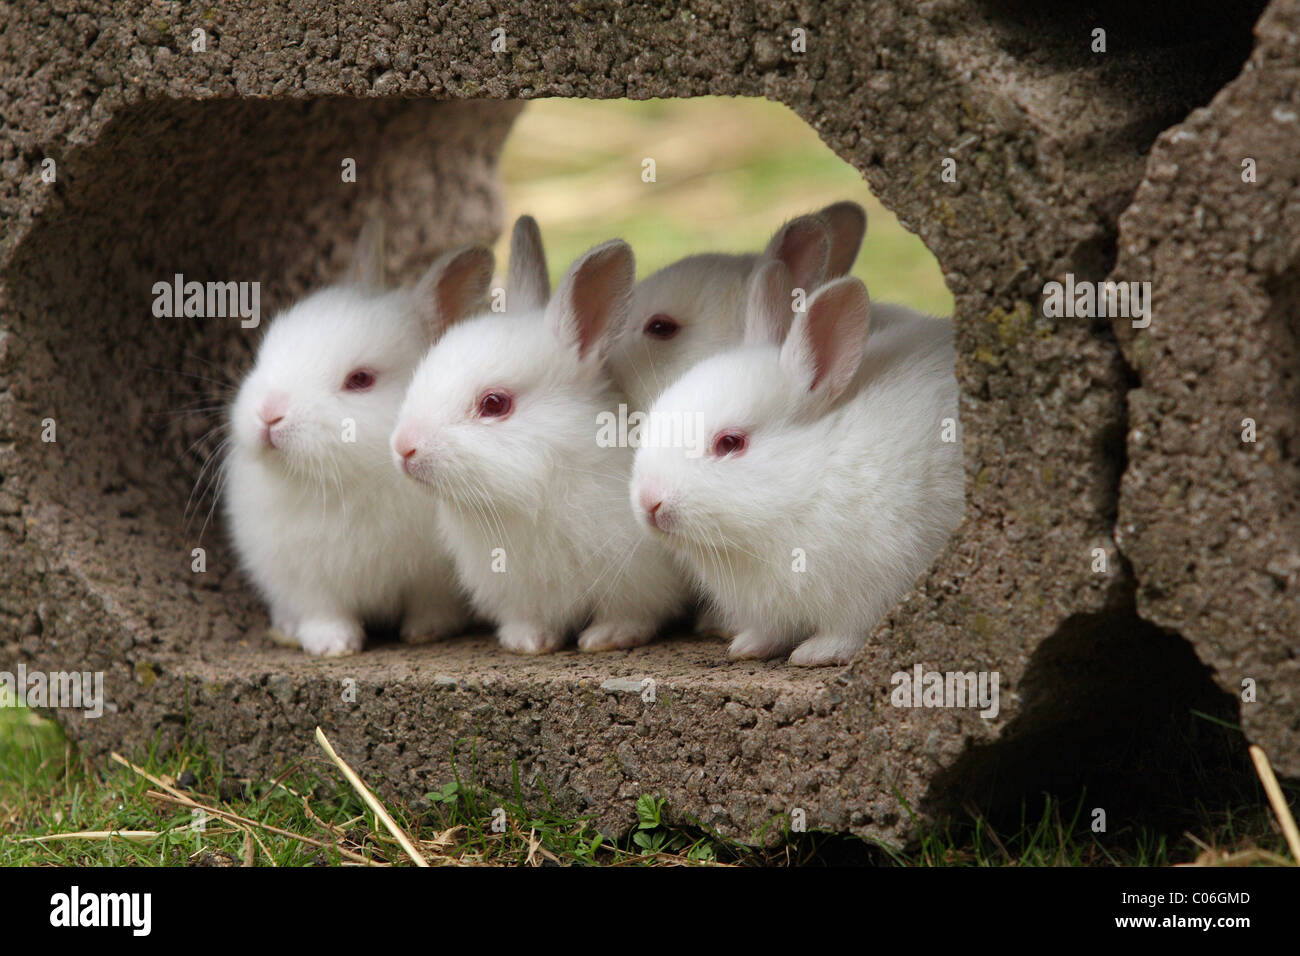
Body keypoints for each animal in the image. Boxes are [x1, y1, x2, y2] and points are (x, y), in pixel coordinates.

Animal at [223, 224, 491, 656]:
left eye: (361, 379)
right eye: (268, 348)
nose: (268, 413)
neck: (349, 481)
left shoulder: (433, 581)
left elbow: (430, 607)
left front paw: (426, 632)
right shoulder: (303, 577)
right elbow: (323, 610)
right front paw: (332, 646)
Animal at [391, 216, 691, 655]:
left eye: (494, 403)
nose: (404, 448)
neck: (538, 491)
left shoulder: (635, 579)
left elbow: (629, 613)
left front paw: (605, 638)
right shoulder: (518, 591)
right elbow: (530, 617)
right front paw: (529, 643)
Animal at [628, 259, 964, 667]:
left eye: (730, 443)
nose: (649, 503)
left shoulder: (874, 581)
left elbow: (848, 631)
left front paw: (815, 654)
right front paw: (747, 647)